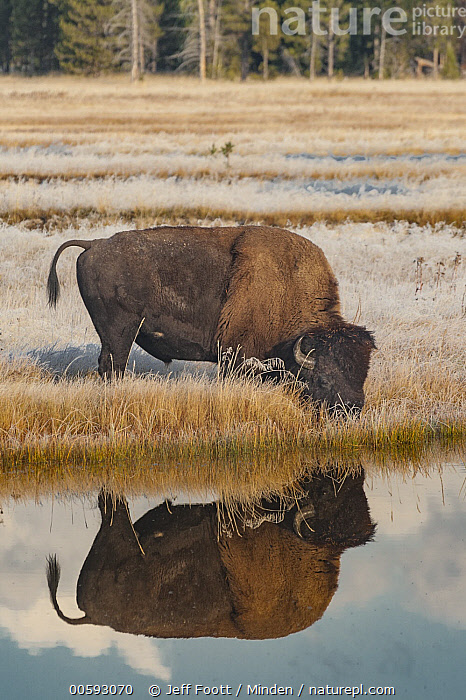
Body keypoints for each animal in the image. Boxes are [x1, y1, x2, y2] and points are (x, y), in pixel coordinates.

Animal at [47, 225, 375, 412]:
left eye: (362, 374)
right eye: (323, 378)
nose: (353, 408)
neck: (286, 285)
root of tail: (93, 244)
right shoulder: (236, 357)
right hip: (119, 334)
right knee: (113, 366)